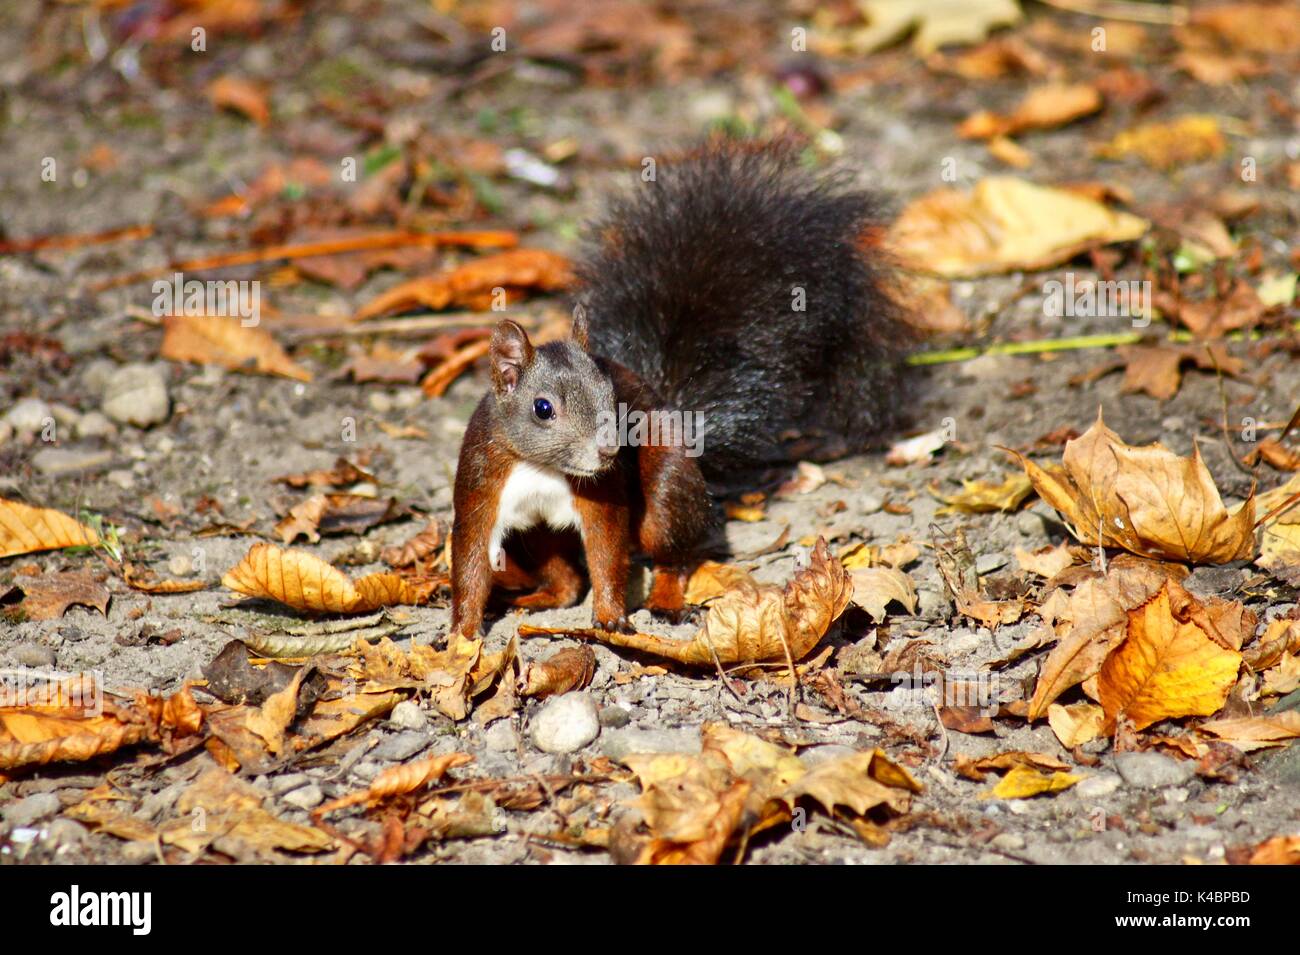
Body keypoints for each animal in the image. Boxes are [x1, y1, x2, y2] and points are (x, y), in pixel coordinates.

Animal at [450, 139, 909, 638]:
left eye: (612, 396)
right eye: (543, 408)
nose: (609, 451)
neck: (541, 468)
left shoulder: (604, 496)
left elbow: (608, 552)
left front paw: (610, 617)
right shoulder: (481, 485)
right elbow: (470, 561)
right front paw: (461, 637)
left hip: (668, 490)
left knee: (671, 554)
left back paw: (666, 601)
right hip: (533, 537)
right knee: (564, 575)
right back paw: (540, 598)